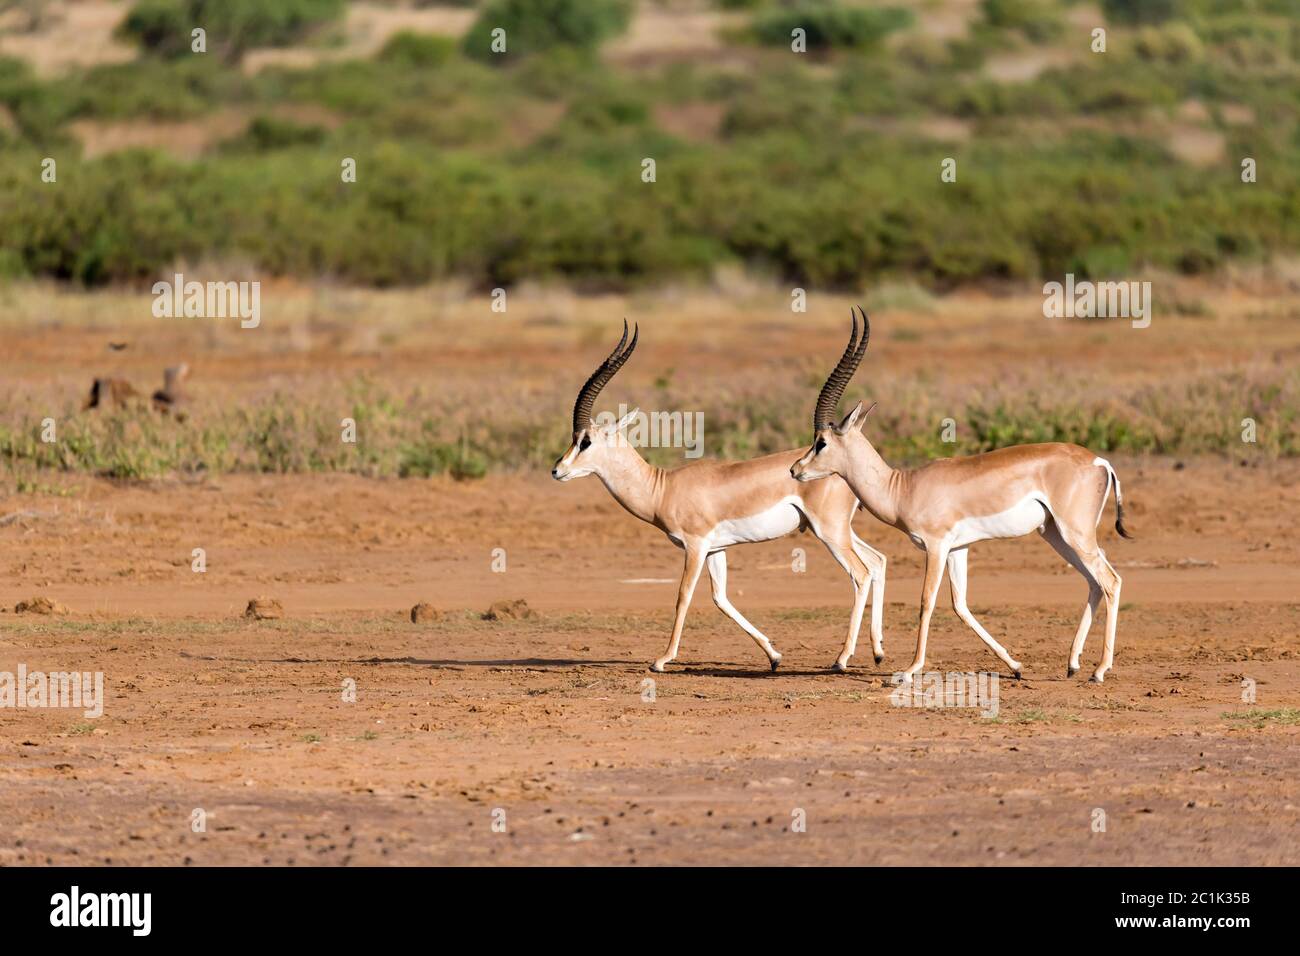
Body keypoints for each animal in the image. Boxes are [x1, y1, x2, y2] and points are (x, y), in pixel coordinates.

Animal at [552, 321, 888, 674]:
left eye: (586, 441)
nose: (557, 470)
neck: (664, 488)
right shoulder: (717, 549)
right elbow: (721, 598)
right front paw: (774, 656)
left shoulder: (696, 546)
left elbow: (683, 595)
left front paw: (662, 659)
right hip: (838, 530)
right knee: (877, 561)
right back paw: (877, 651)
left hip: (829, 532)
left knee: (860, 573)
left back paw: (842, 659)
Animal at [791, 309, 1132, 683]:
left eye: (821, 442)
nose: (795, 470)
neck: (903, 487)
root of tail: (1099, 461)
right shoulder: (959, 549)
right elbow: (961, 605)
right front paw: (1015, 666)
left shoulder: (937, 546)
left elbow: (927, 601)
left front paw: (909, 670)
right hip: (1055, 534)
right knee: (1094, 582)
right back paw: (1072, 664)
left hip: (1074, 533)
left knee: (1111, 580)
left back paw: (1099, 670)